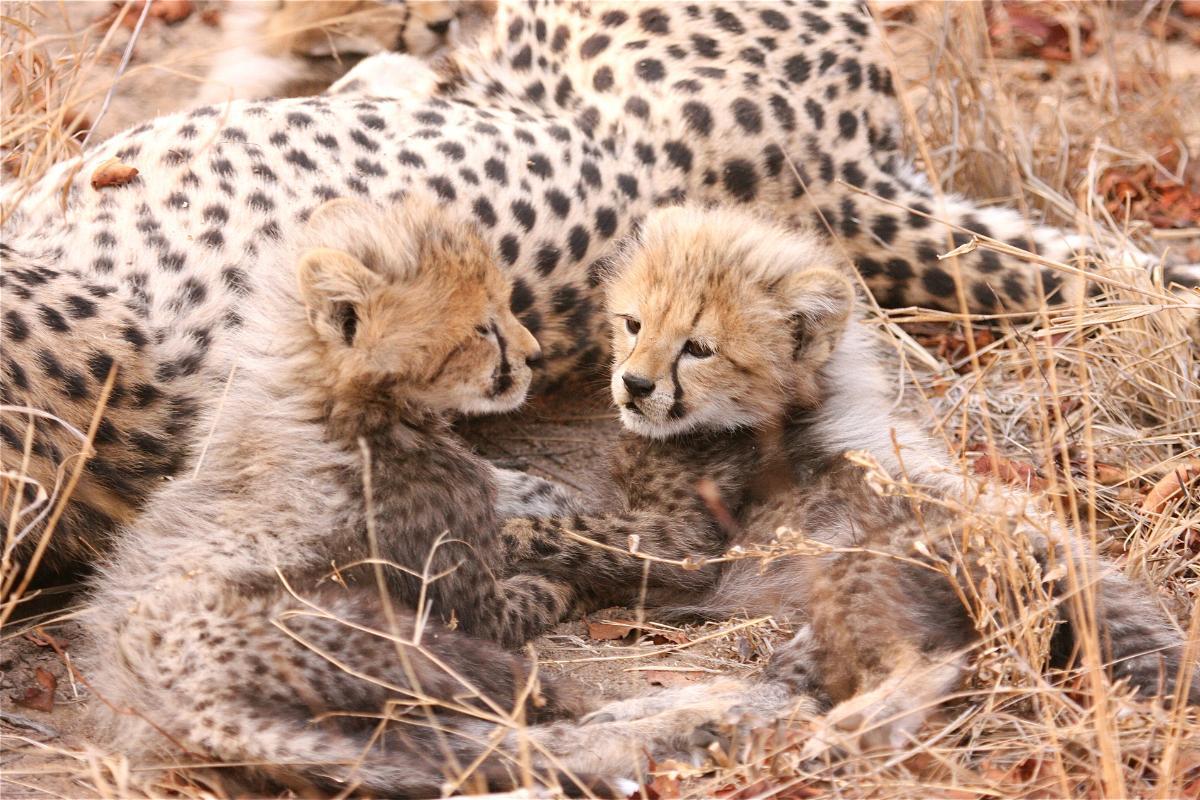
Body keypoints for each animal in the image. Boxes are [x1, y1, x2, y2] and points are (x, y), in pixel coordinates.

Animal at [500, 204, 1198, 760]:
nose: (635, 385)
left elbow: (565, 528)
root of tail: (1058, 546)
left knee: (916, 669)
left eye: (698, 349)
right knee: (780, 692)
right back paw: (646, 717)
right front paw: (497, 490)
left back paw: (841, 734)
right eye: (633, 323)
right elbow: (553, 500)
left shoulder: (686, 549)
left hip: (860, 569)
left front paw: (503, 539)